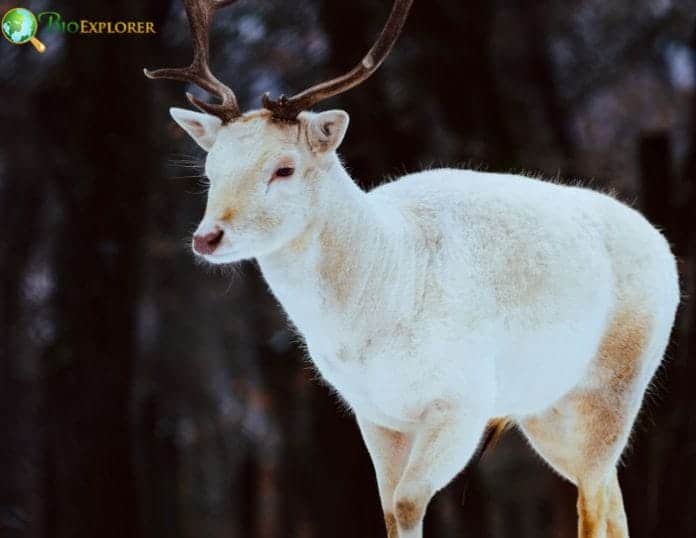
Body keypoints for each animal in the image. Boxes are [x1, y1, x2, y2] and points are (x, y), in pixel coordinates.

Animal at [144, 1, 680, 536]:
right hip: (545, 408)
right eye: (210, 169)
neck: (382, 299)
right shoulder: (375, 413)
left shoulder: (461, 402)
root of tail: (663, 247)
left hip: (614, 389)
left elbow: (406, 504)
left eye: (284, 168)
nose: (207, 237)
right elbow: (387, 508)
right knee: (611, 499)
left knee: (594, 502)